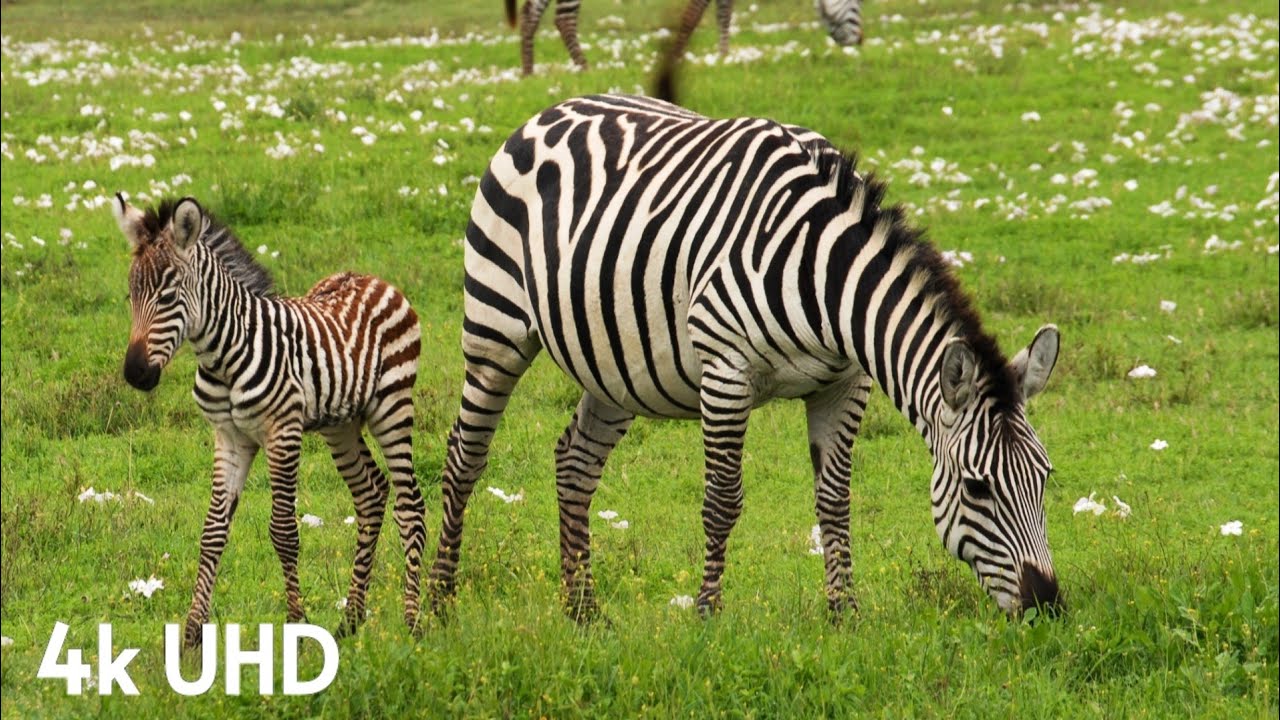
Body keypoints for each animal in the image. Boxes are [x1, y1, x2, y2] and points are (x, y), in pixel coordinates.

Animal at [114, 194, 427, 648]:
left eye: (169, 296)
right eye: (131, 294)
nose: (136, 374)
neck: (224, 355)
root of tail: (374, 278)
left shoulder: (283, 432)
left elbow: (284, 532)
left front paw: (297, 626)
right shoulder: (229, 437)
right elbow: (212, 532)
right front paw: (191, 635)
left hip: (392, 406)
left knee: (410, 504)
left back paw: (413, 622)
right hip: (340, 424)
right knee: (370, 494)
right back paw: (350, 620)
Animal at [429, 94, 1062, 620]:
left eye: (1045, 478)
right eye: (977, 489)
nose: (1047, 605)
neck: (824, 276)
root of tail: (551, 110)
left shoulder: (845, 384)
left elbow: (834, 501)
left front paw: (845, 615)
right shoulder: (726, 371)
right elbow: (722, 501)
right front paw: (708, 613)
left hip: (615, 364)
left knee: (575, 462)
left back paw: (582, 610)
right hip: (495, 326)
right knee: (464, 456)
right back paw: (436, 603)